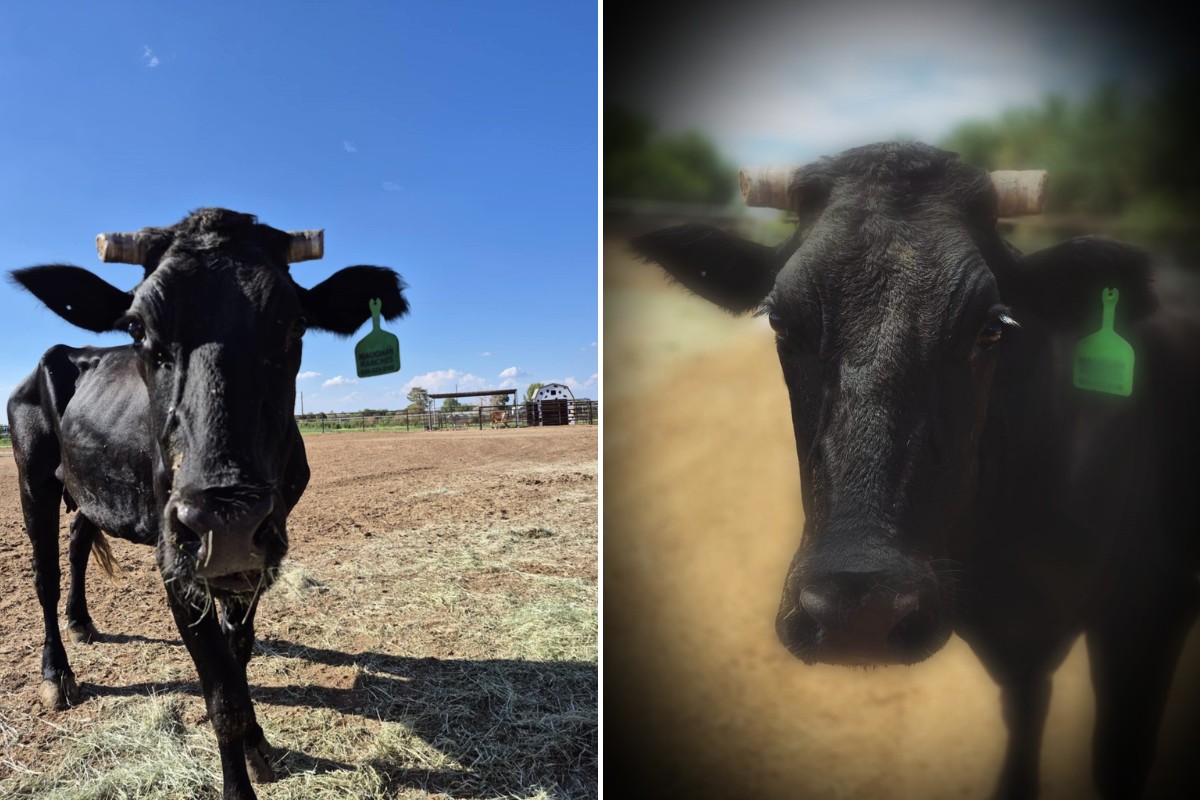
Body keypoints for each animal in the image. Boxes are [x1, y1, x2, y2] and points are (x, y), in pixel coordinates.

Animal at [7, 208, 409, 800]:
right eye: (137, 328)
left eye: (295, 325)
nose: (227, 522)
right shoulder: (176, 559)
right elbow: (221, 695)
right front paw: (240, 773)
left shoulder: (254, 561)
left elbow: (237, 652)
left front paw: (258, 744)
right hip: (32, 475)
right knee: (44, 574)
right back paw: (56, 673)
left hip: (88, 490)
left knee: (79, 540)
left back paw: (82, 621)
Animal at [632, 142, 1200, 800]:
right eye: (778, 321)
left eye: (991, 326)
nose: (858, 611)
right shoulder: (1003, 631)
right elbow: (1024, 716)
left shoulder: (1150, 604)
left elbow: (1117, 755)